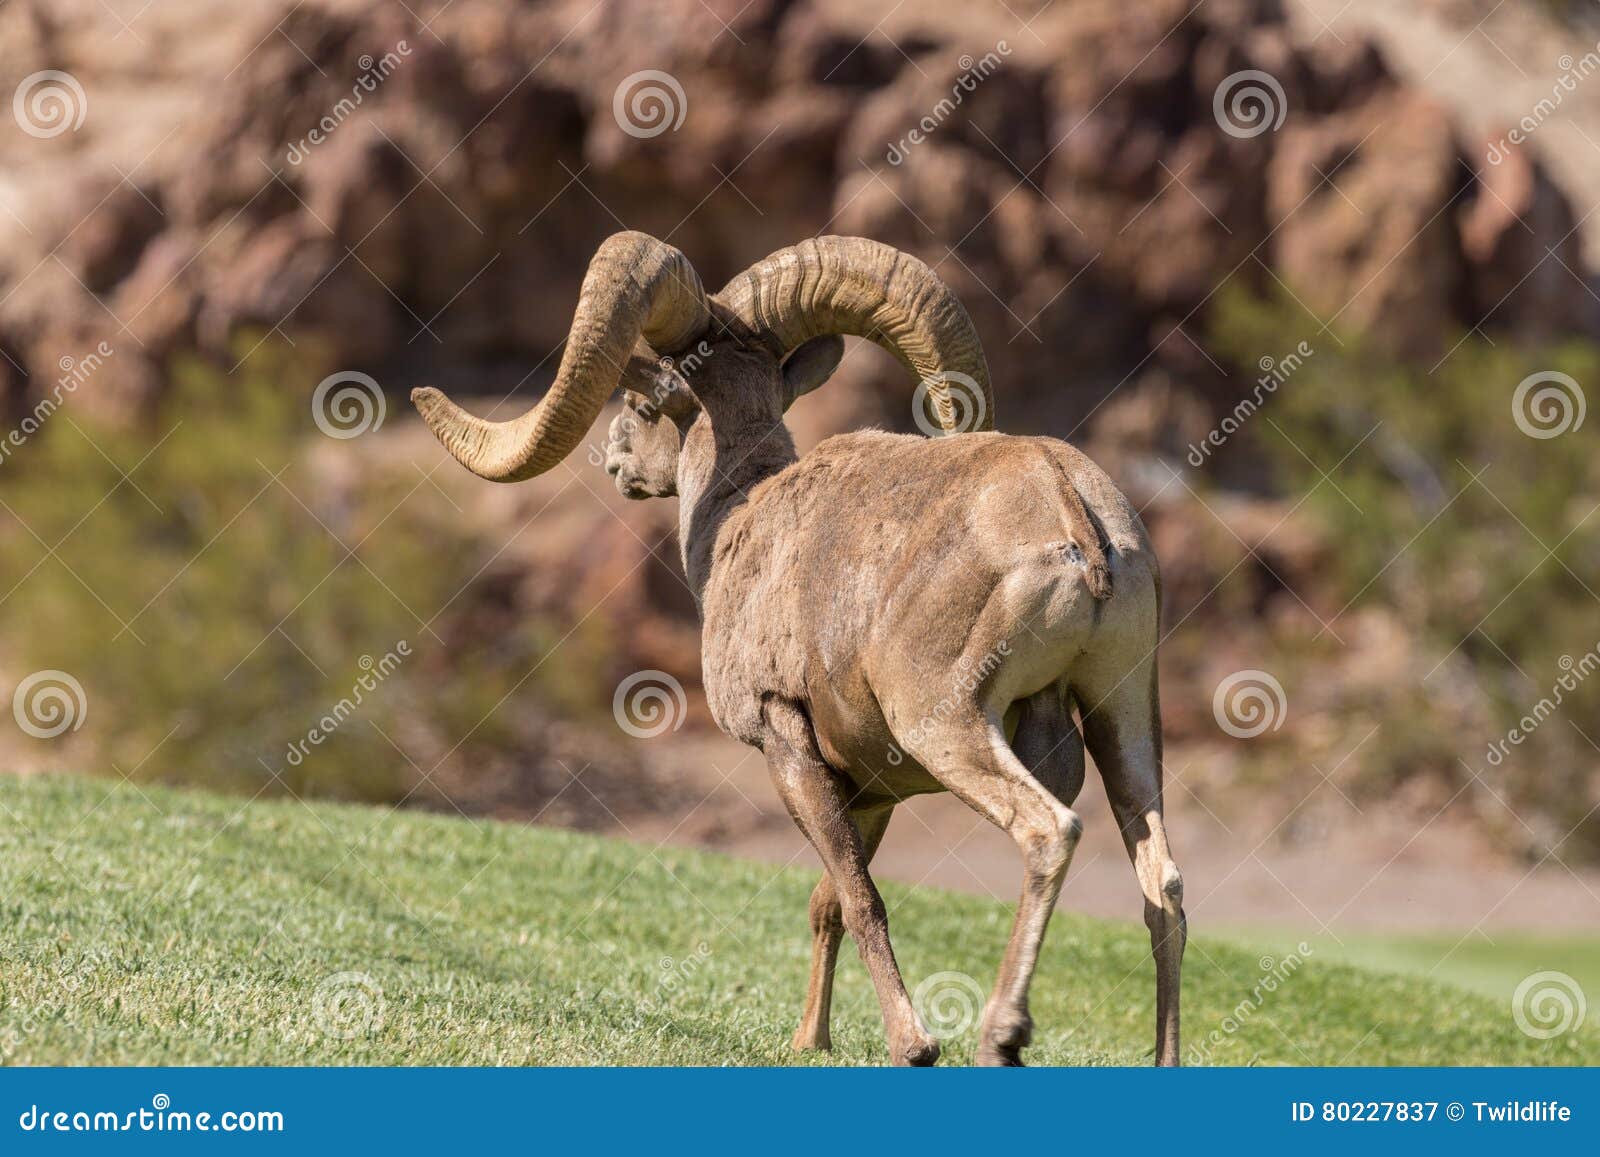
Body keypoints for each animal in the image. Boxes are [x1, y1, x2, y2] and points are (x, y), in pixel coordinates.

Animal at [413, 231, 1185, 1066]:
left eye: (643, 403)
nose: (617, 459)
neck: (741, 517)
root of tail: (1069, 508)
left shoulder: (788, 744)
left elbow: (860, 896)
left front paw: (912, 1044)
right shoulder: (873, 787)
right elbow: (832, 903)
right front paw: (810, 1037)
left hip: (950, 726)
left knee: (1049, 832)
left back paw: (1001, 1036)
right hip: (1122, 720)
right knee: (1164, 888)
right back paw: (1162, 1060)